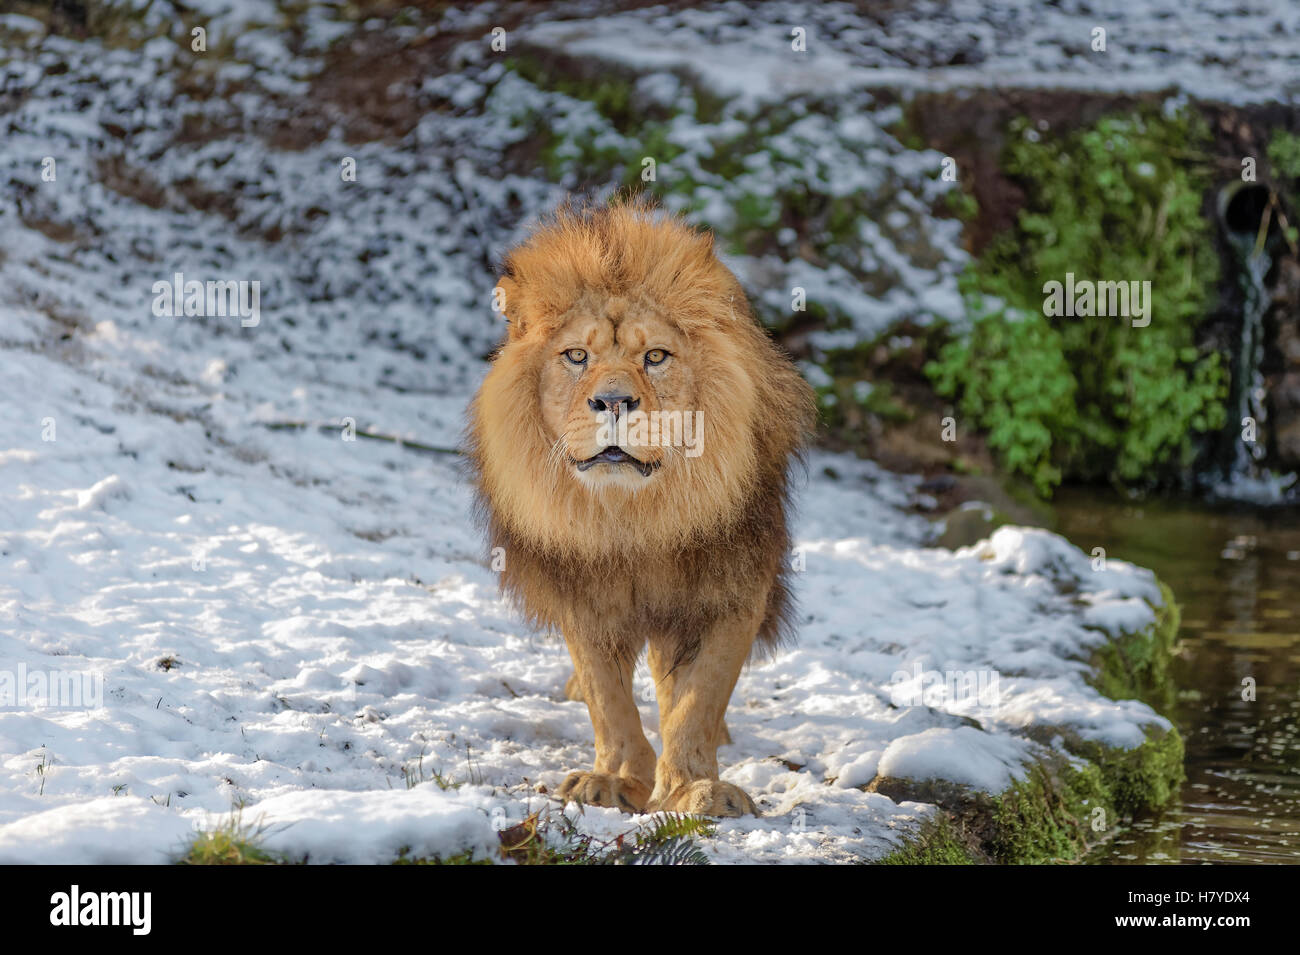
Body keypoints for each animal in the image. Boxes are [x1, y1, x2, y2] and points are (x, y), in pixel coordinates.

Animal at [467, 202, 815, 817]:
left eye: (655, 357)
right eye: (576, 356)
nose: (612, 401)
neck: (636, 518)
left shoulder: (733, 588)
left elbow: (700, 696)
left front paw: (693, 786)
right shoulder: (583, 597)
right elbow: (607, 697)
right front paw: (616, 778)